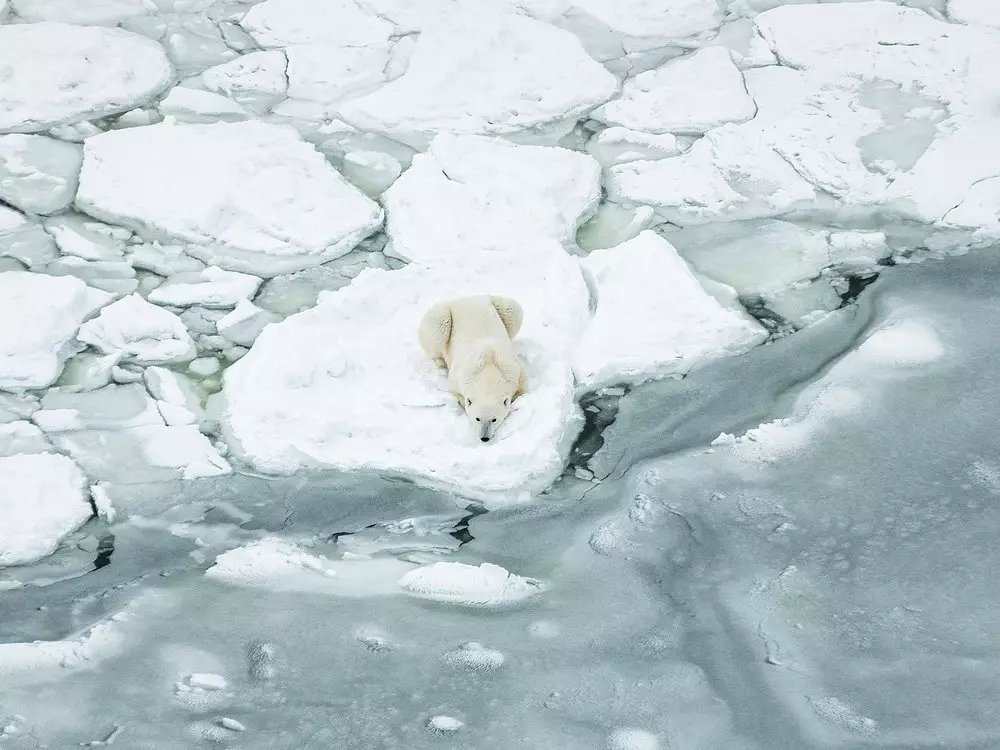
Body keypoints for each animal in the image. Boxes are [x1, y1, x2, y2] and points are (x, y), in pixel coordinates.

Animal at [416, 296, 528, 444]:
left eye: (494, 419)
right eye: (477, 418)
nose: (484, 438)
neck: (488, 366)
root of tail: (466, 298)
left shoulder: (514, 370)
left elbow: (522, 390)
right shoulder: (460, 375)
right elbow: (456, 393)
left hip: (500, 306)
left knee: (512, 309)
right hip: (442, 317)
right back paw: (440, 362)